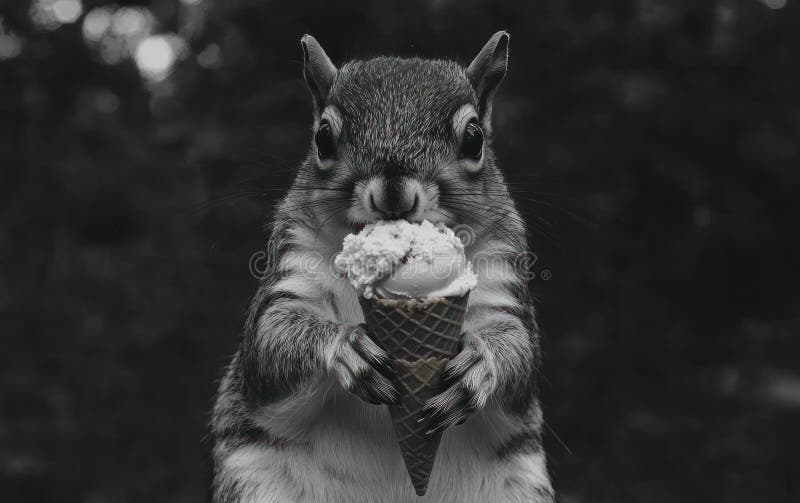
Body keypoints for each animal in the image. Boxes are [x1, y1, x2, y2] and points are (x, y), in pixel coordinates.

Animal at [211, 32, 554, 503]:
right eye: (323, 138)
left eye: (474, 138)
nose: (394, 195)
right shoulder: (292, 268)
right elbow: (270, 336)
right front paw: (346, 346)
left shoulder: (501, 275)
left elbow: (519, 346)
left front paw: (479, 364)